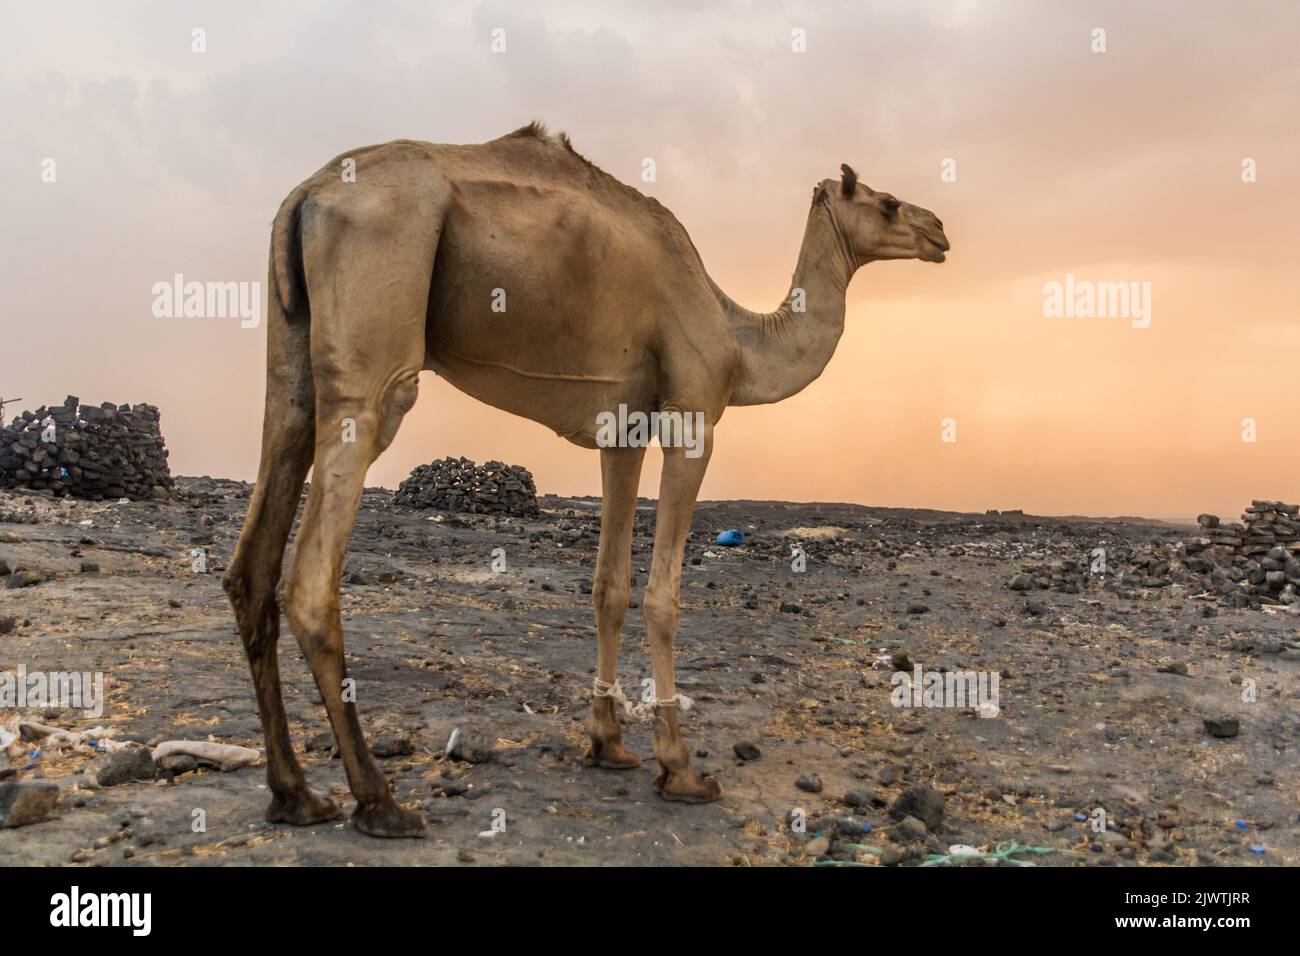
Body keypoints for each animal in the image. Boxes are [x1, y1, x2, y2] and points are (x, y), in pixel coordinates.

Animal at [222, 122, 950, 837]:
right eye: (887, 202)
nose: (940, 228)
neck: (740, 338)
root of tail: (305, 195)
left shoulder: (621, 429)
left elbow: (609, 588)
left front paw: (608, 744)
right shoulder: (691, 416)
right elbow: (662, 597)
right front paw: (681, 769)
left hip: (293, 350)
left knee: (262, 523)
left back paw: (296, 795)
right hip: (379, 310)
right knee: (314, 569)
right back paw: (380, 801)